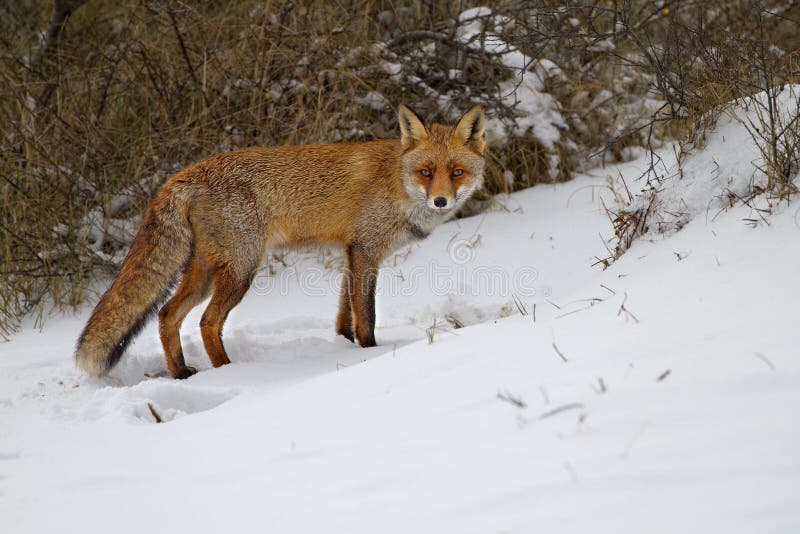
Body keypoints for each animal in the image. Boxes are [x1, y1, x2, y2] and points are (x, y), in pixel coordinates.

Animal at [75, 104, 486, 379]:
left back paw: (182, 373)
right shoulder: (366, 250)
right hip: (241, 270)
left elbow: (345, 314)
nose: (441, 201)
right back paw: (230, 373)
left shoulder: (350, 251)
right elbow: (366, 316)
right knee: (207, 322)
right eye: (426, 172)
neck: (397, 182)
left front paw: (345, 347)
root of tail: (182, 174)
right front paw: (371, 354)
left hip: (205, 271)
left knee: (166, 315)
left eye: (456, 172)